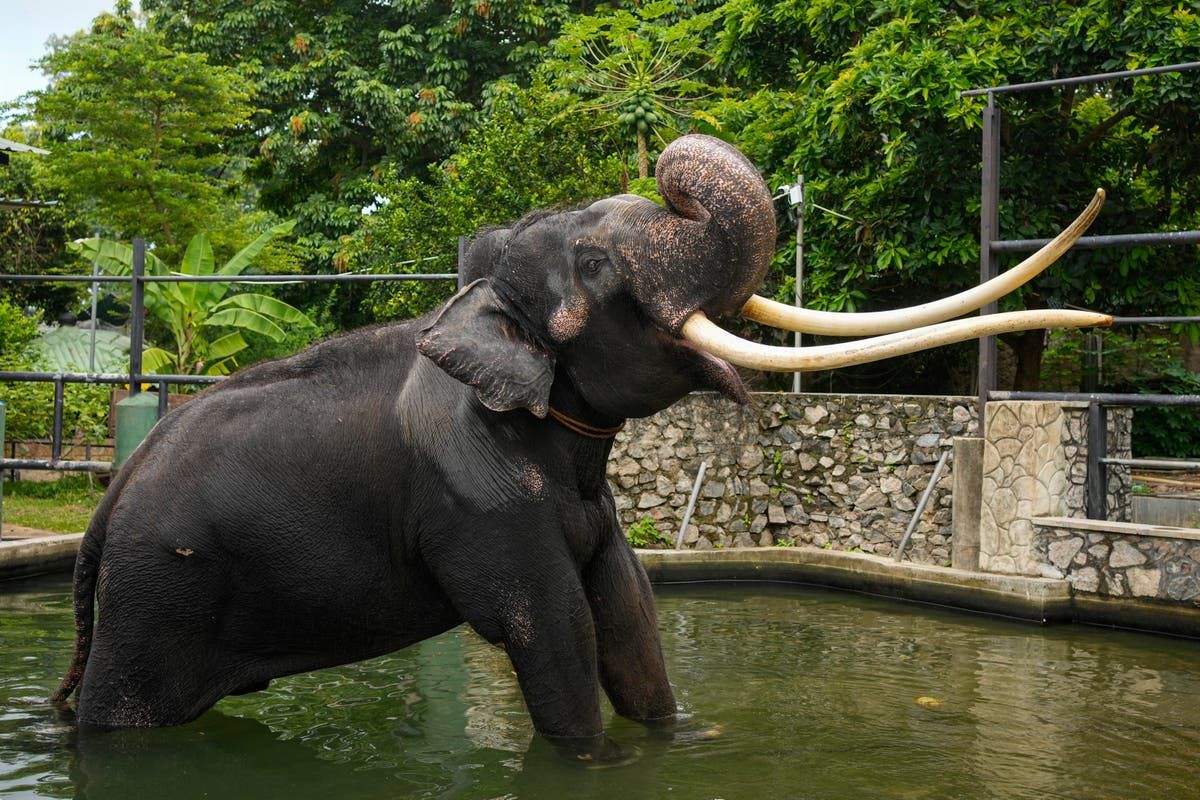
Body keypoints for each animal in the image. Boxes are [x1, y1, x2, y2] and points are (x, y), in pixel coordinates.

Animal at [52, 134, 1109, 750]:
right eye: (598, 263)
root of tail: (106, 506)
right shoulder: (476, 504)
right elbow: (555, 632)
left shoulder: (592, 511)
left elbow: (631, 616)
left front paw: (683, 743)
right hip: (157, 594)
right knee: (125, 711)